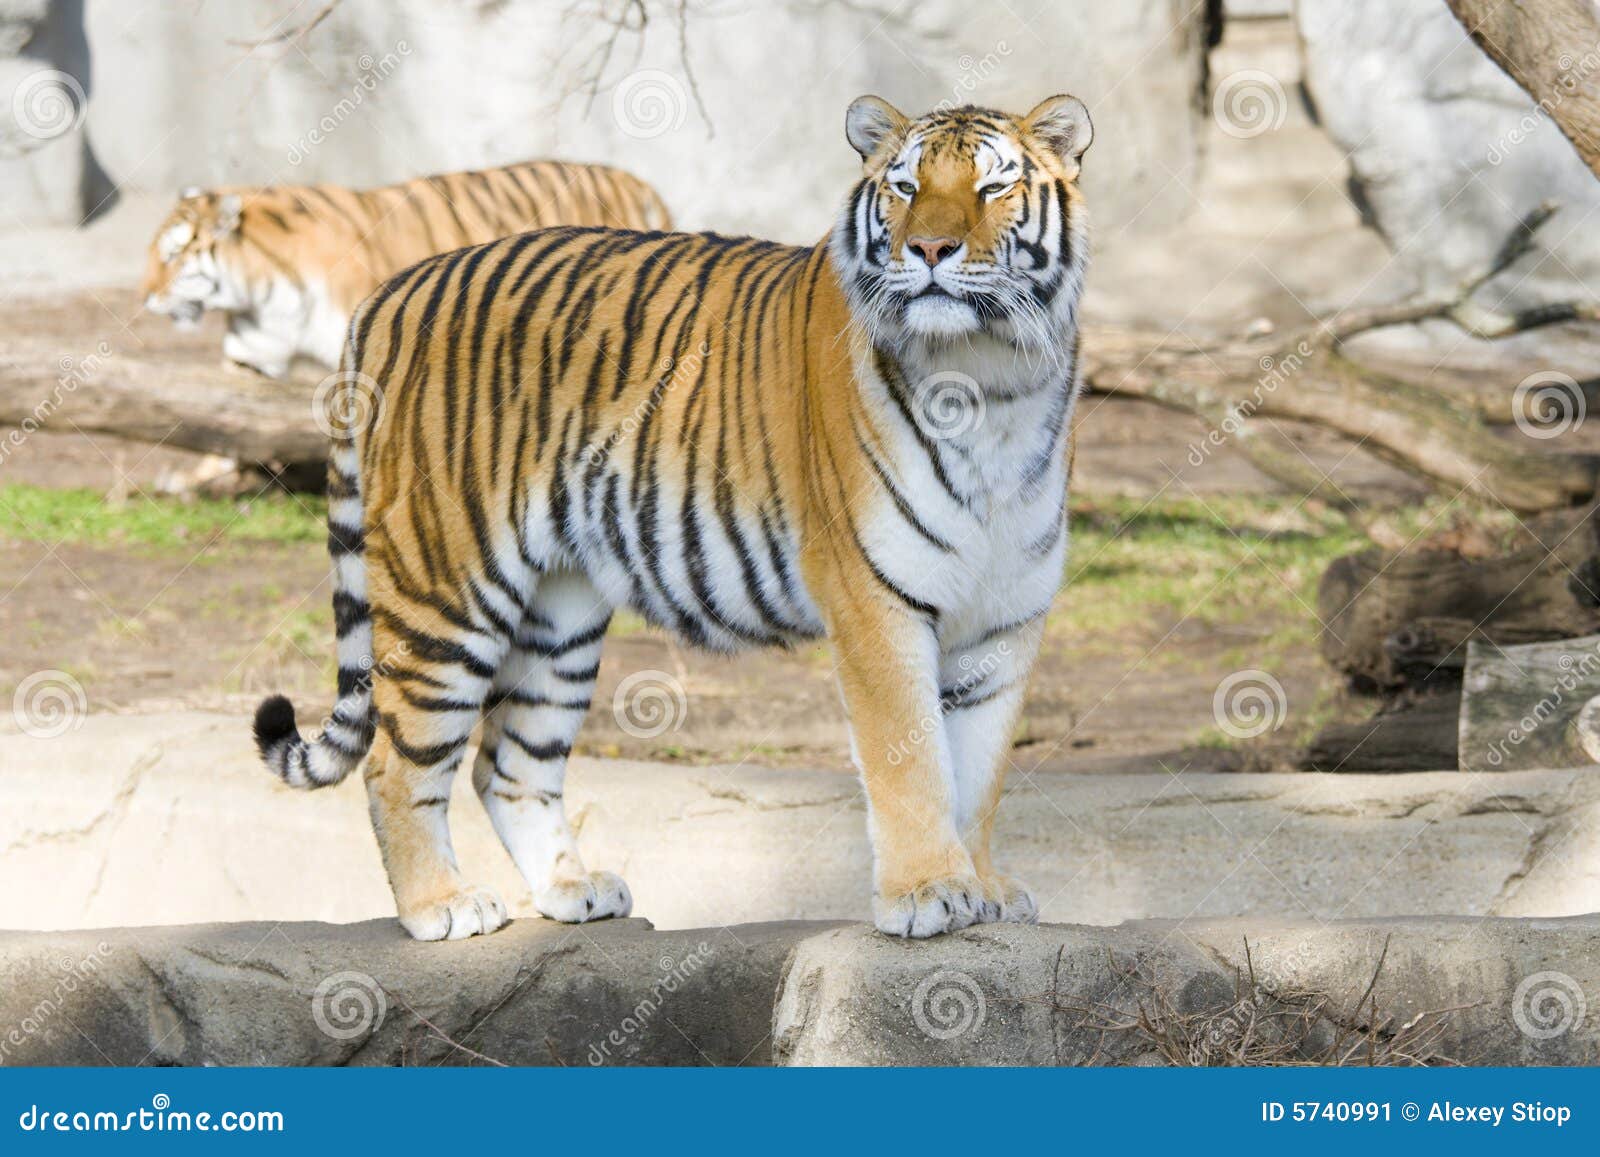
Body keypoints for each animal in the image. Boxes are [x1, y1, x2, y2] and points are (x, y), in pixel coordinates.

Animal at [252, 93, 1093, 941]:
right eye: (904, 187)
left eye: (993, 187)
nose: (928, 247)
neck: (992, 378)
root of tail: (390, 290)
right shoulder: (876, 602)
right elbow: (911, 760)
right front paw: (927, 892)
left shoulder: (1005, 619)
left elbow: (979, 772)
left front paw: (984, 889)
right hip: (446, 587)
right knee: (398, 760)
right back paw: (442, 906)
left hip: (560, 611)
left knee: (508, 760)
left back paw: (573, 888)